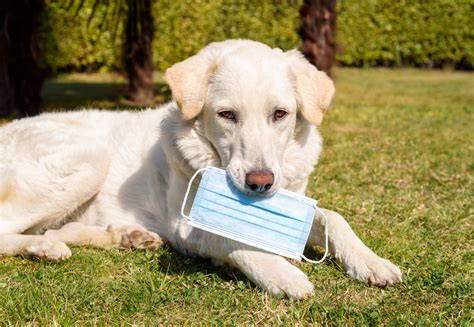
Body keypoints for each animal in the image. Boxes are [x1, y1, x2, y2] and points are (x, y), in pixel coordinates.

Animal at [0, 39, 402, 298]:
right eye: (227, 115)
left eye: (280, 114)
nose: (260, 183)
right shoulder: (187, 227)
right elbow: (232, 238)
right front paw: (282, 274)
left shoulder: (295, 204)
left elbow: (334, 218)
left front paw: (371, 262)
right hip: (88, 158)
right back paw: (41, 247)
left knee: (61, 229)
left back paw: (126, 237)